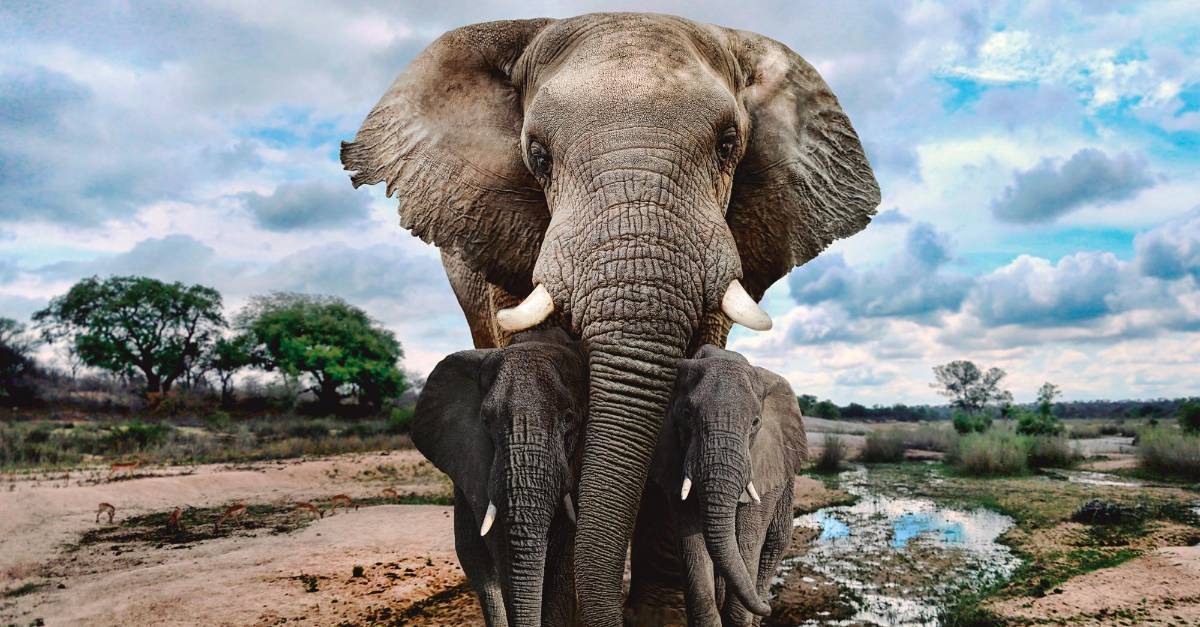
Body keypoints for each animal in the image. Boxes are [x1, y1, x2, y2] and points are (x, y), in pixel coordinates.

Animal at [634, 345, 808, 626]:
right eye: (687, 415)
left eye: (755, 422)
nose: (768, 607)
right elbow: (692, 541)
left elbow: (748, 538)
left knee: (775, 542)